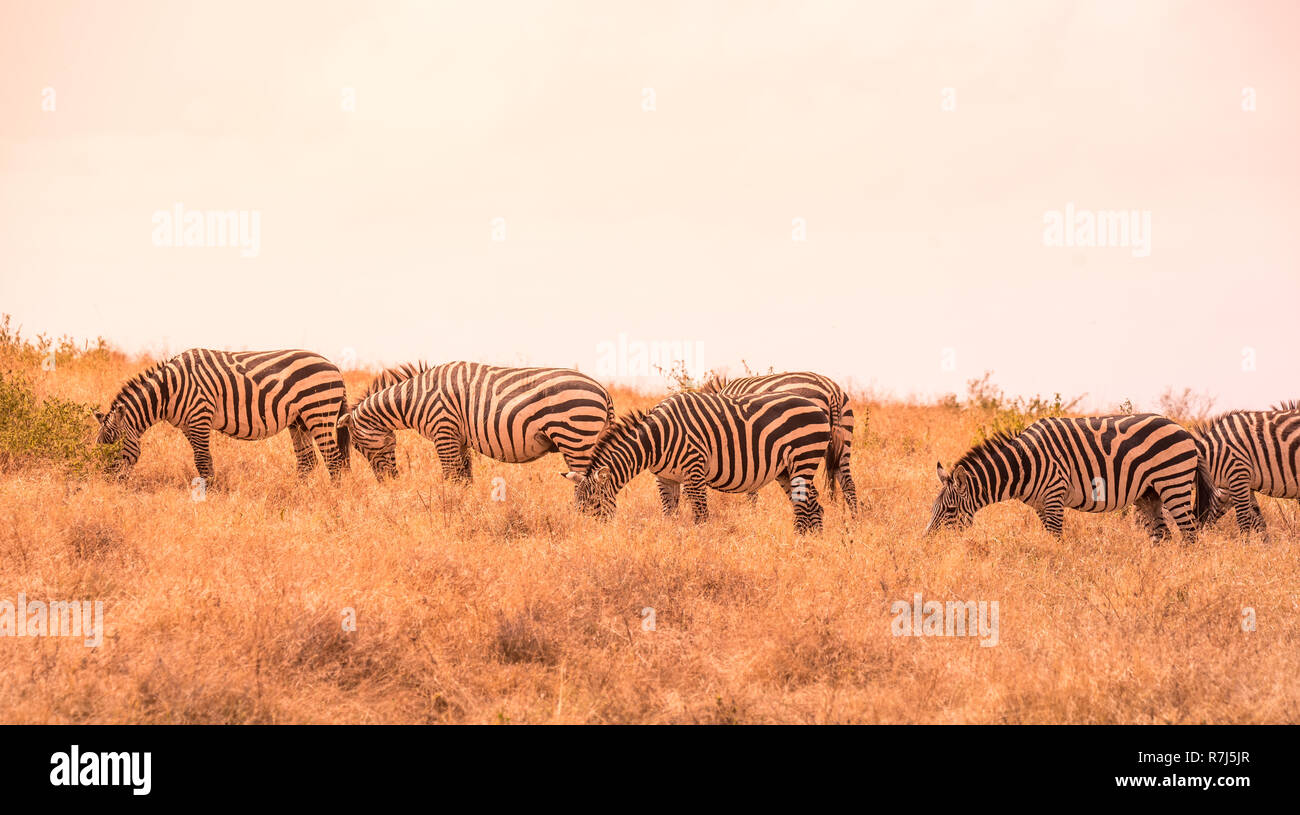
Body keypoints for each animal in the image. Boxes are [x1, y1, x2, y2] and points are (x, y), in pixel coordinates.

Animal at [94, 348, 349, 482]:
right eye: (99, 447)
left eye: (114, 445)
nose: (105, 484)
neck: (170, 389)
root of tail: (334, 367)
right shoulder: (187, 425)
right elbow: (204, 459)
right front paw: (212, 488)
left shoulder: (200, 415)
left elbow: (201, 460)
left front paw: (208, 492)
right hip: (299, 421)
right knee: (307, 461)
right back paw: (299, 493)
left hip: (318, 411)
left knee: (333, 459)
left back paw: (332, 498)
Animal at [338, 362, 614, 480]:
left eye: (358, 448)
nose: (388, 481)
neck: (414, 398)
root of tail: (603, 390)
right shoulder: (459, 439)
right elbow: (465, 477)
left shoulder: (444, 431)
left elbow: (450, 475)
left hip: (575, 436)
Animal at [562, 391, 832, 533]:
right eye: (577, 507)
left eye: (594, 504)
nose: (588, 538)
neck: (656, 439)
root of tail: (817, 407)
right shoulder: (665, 477)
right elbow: (669, 513)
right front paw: (671, 541)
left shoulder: (694, 471)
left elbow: (701, 515)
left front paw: (701, 545)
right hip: (787, 470)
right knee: (813, 505)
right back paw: (810, 544)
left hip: (803, 459)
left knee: (805, 506)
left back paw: (800, 542)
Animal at [696, 371, 859, 513]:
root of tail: (831, 391)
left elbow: (751, 487)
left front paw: (752, 514)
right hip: (844, 437)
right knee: (848, 484)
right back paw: (854, 520)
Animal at [924, 414, 1216, 542]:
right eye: (933, 509)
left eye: (950, 510)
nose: (927, 543)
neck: (1024, 464)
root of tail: (1184, 430)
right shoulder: (1040, 505)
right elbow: (1049, 536)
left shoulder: (1054, 495)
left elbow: (1056, 538)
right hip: (1149, 494)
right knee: (1162, 535)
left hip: (1173, 482)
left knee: (1189, 533)